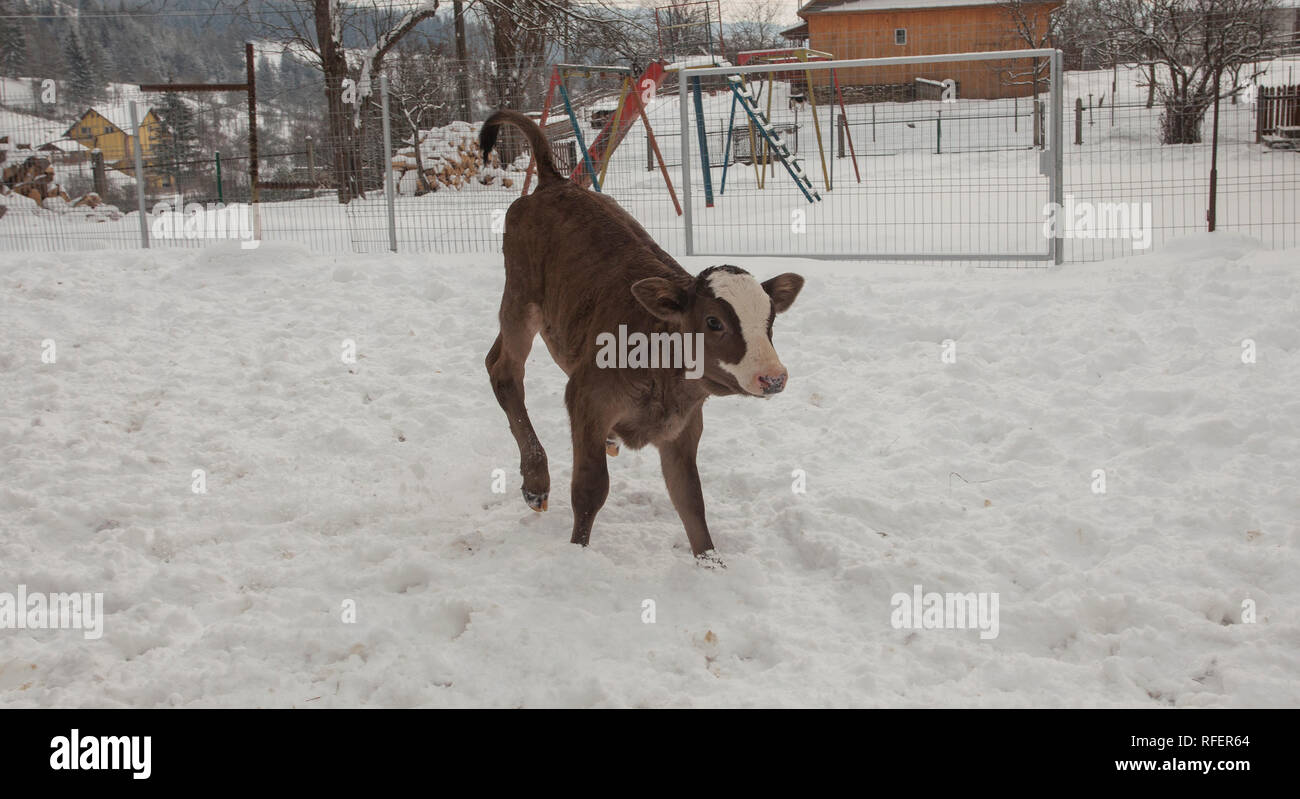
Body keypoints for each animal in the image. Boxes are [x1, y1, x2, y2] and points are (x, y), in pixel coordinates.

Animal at [478, 110, 804, 564]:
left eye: (770, 319)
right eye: (713, 321)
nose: (773, 377)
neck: (660, 361)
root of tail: (553, 181)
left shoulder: (683, 426)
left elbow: (690, 499)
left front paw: (712, 565)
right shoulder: (587, 398)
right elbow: (590, 490)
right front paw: (578, 554)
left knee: (497, 358)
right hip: (520, 300)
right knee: (505, 371)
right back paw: (536, 481)